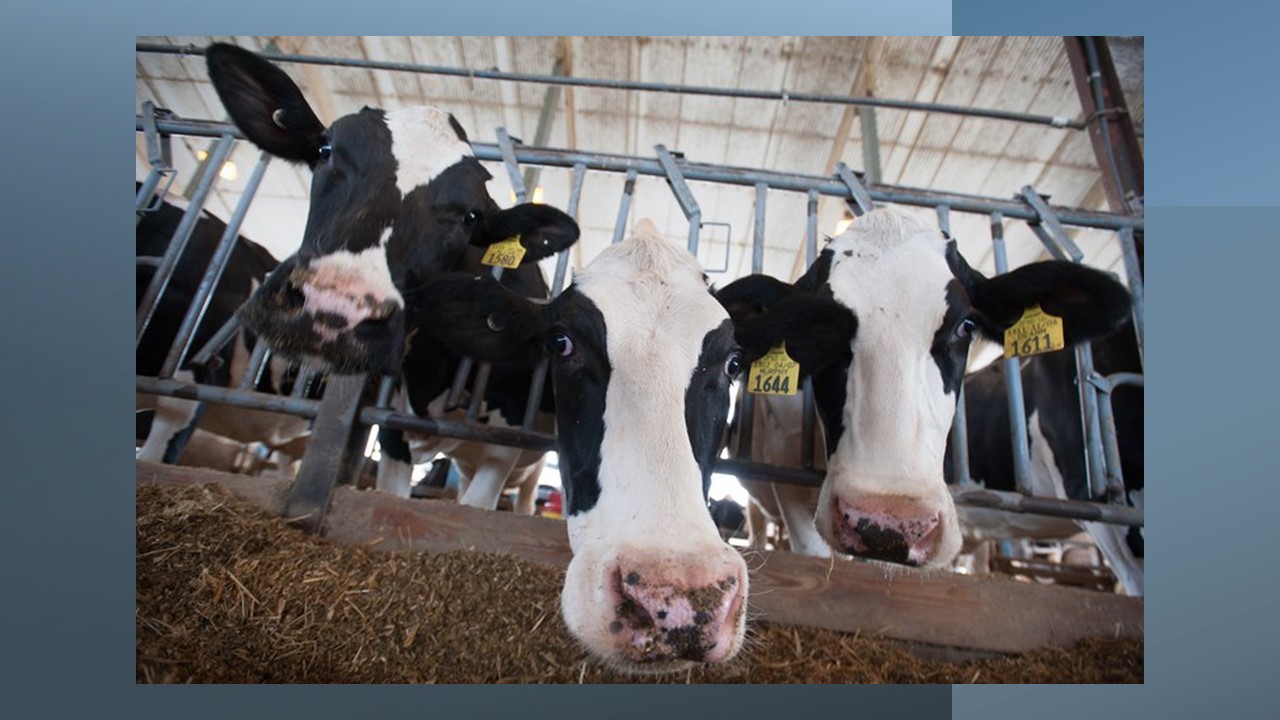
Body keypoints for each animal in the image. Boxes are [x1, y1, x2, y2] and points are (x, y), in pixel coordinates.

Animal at [203, 43, 579, 505]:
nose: (332, 309)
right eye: (326, 150)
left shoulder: (503, 442)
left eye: (471, 216)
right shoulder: (393, 429)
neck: (431, 377)